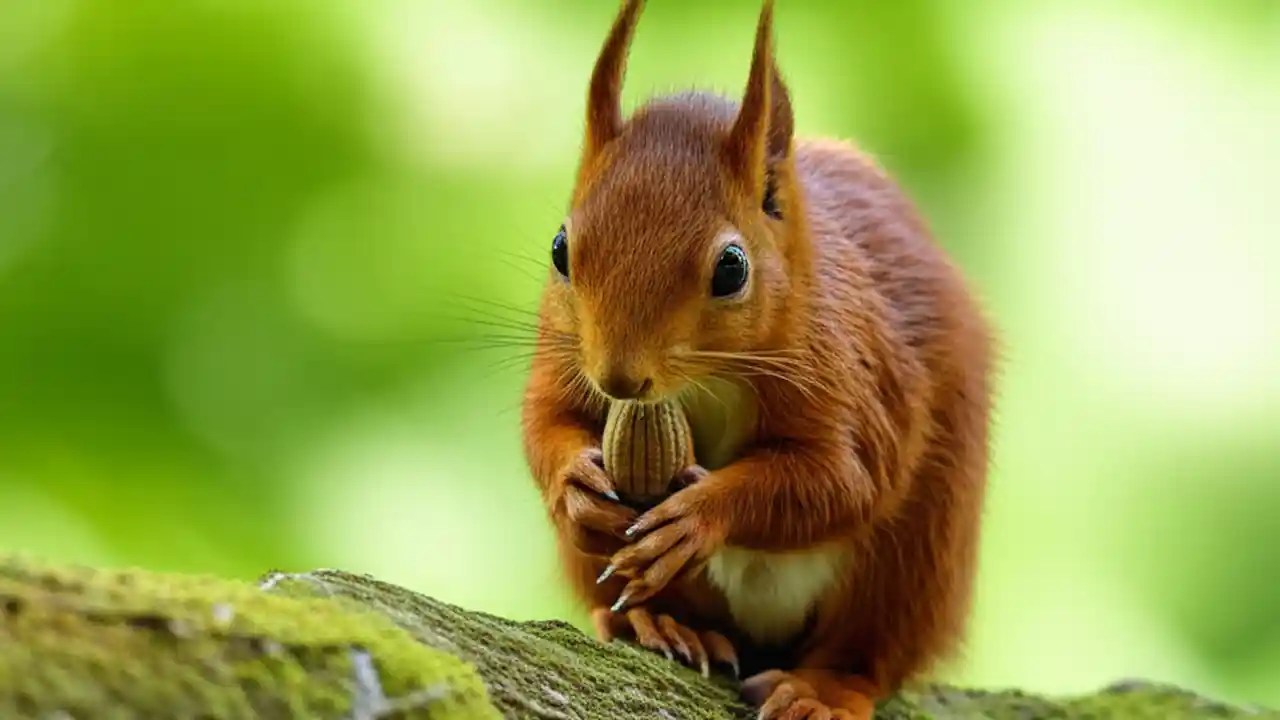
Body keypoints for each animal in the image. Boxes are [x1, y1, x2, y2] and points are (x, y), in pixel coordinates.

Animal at [520, 1, 993, 718]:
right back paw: (663, 623)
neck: (708, 378)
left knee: (868, 652)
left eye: (731, 268)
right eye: (558, 249)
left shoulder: (855, 368)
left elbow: (842, 480)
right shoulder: (564, 354)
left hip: (915, 559)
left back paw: (820, 690)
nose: (621, 379)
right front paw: (574, 484)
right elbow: (543, 419)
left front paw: (699, 516)